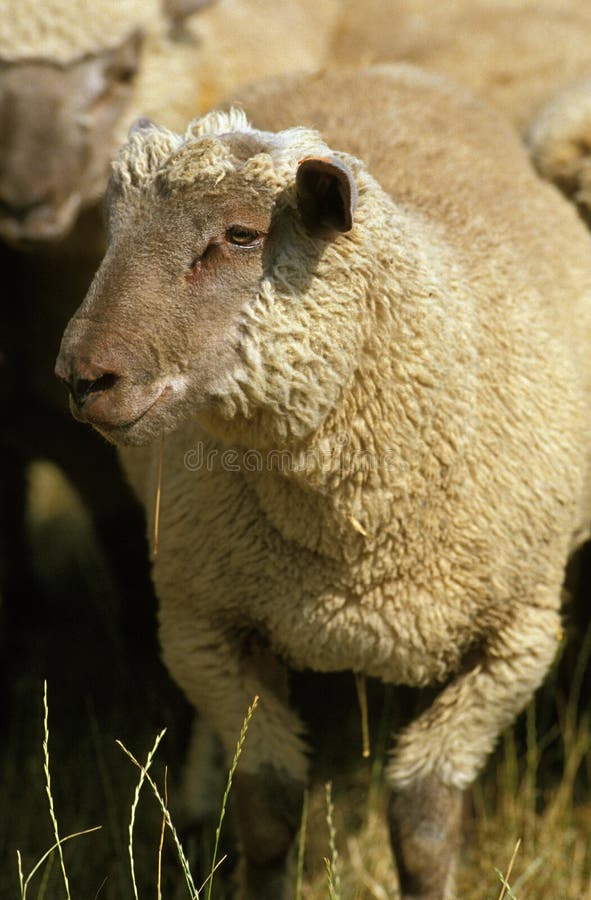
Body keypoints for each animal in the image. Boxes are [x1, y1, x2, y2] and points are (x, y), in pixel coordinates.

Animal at [55, 63, 591, 898]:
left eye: (241, 235)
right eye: (112, 232)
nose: (82, 377)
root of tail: (367, 69)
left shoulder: (515, 644)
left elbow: (423, 823)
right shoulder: (204, 631)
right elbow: (269, 809)